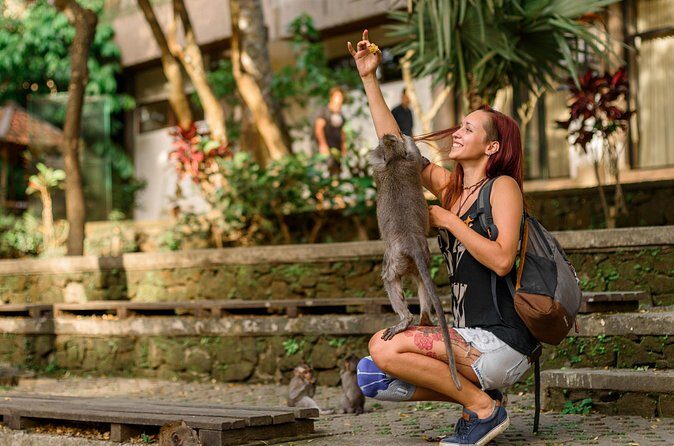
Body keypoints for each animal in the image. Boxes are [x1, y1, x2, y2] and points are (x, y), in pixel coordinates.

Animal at [369, 133, 462, 390]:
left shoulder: (379, 169)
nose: (388, 136)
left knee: (390, 279)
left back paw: (406, 319)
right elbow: (415, 158)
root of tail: (410, 240)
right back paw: (424, 318)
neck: (394, 160)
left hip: (395, 258)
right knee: (421, 280)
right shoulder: (408, 161)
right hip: (420, 255)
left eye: (385, 141)